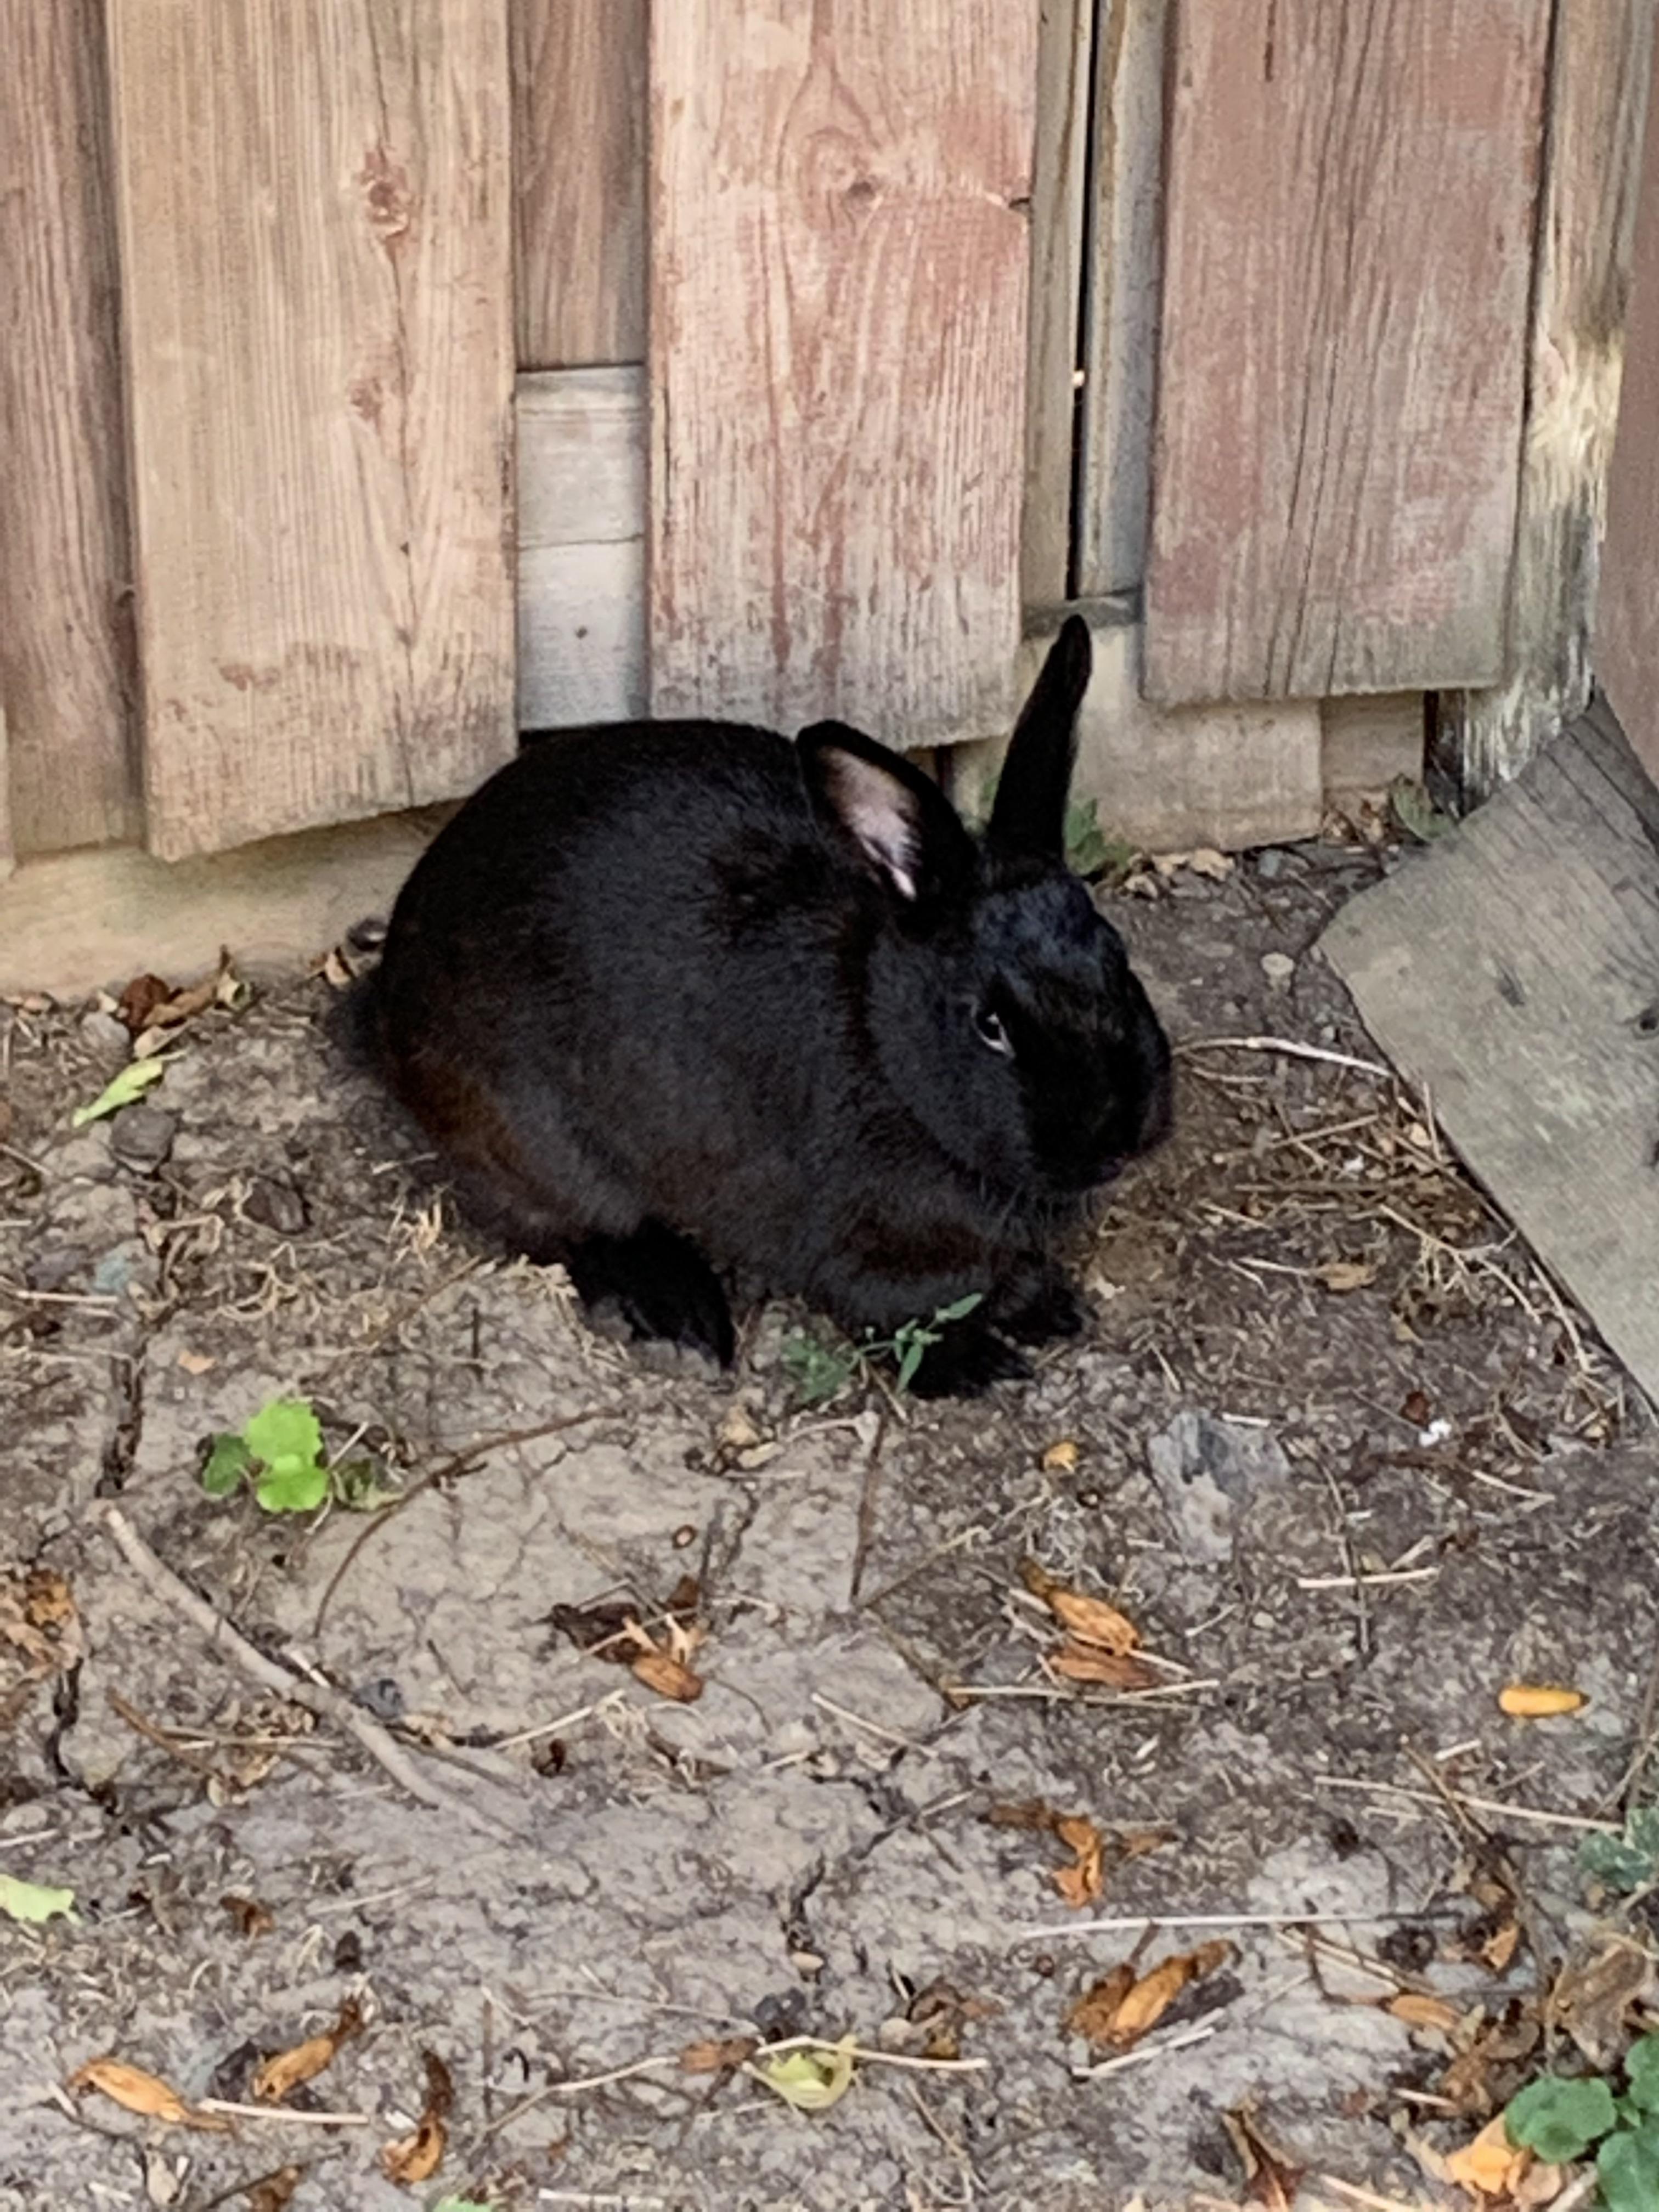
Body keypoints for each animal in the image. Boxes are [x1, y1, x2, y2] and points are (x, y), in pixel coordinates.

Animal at [352, 615, 1172, 1394]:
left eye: (1118, 962)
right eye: (990, 1026)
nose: (1120, 1137)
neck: (886, 1042)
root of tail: (388, 999)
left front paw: (1049, 1308)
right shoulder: (868, 1253)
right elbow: (900, 1314)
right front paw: (973, 1367)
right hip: (523, 1135)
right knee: (576, 1228)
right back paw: (679, 1313)